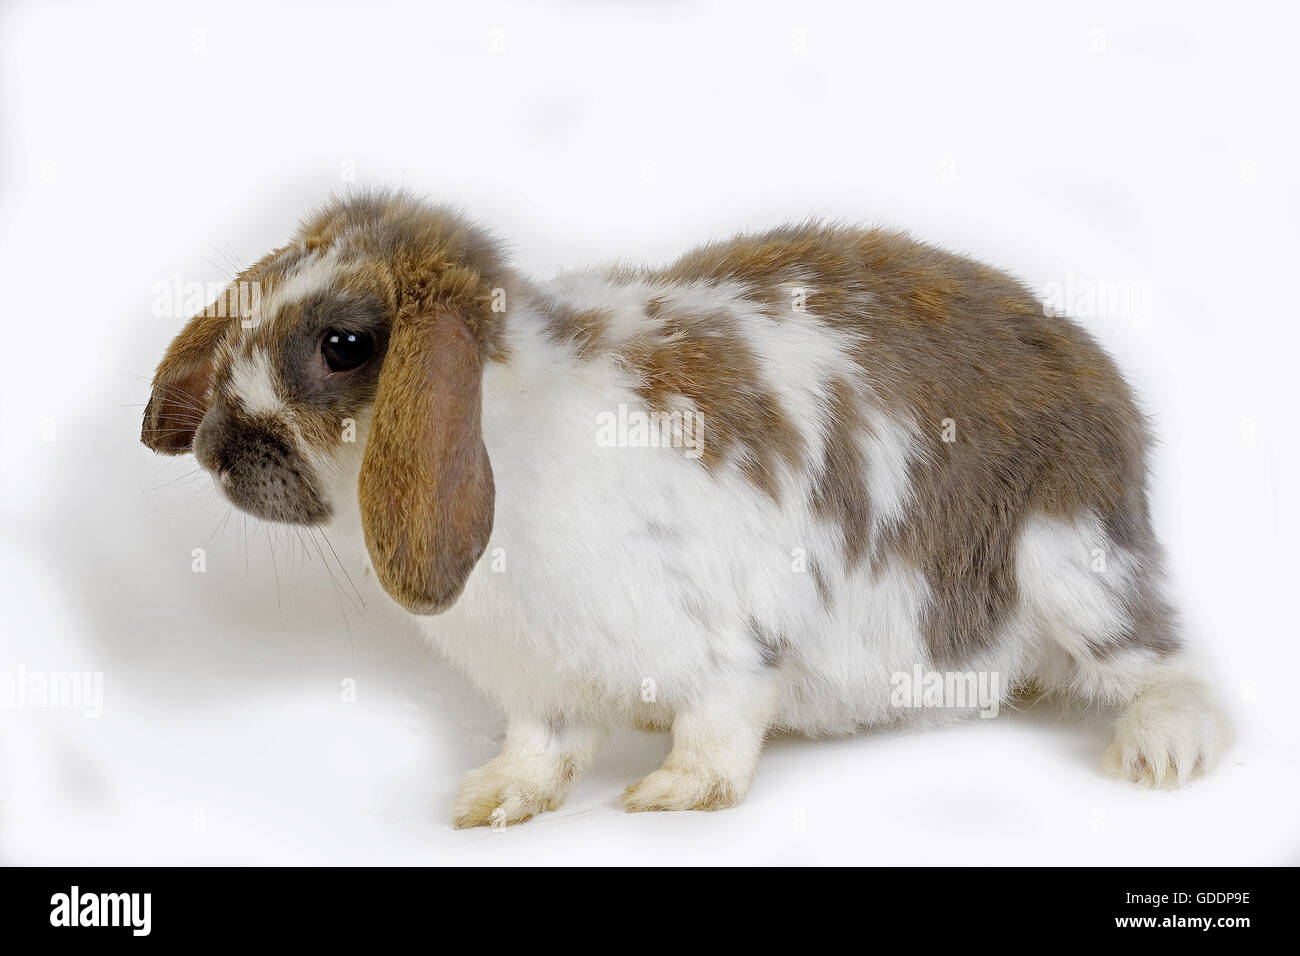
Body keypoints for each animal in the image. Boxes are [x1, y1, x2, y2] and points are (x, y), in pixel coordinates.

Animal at [142, 189, 1229, 827]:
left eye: (345, 346)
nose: (214, 447)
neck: (511, 428)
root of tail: (1095, 375)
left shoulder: (724, 645)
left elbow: (721, 724)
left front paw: (670, 792)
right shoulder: (543, 684)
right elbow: (543, 747)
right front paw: (492, 801)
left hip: (1069, 565)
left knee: (1170, 666)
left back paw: (1157, 753)